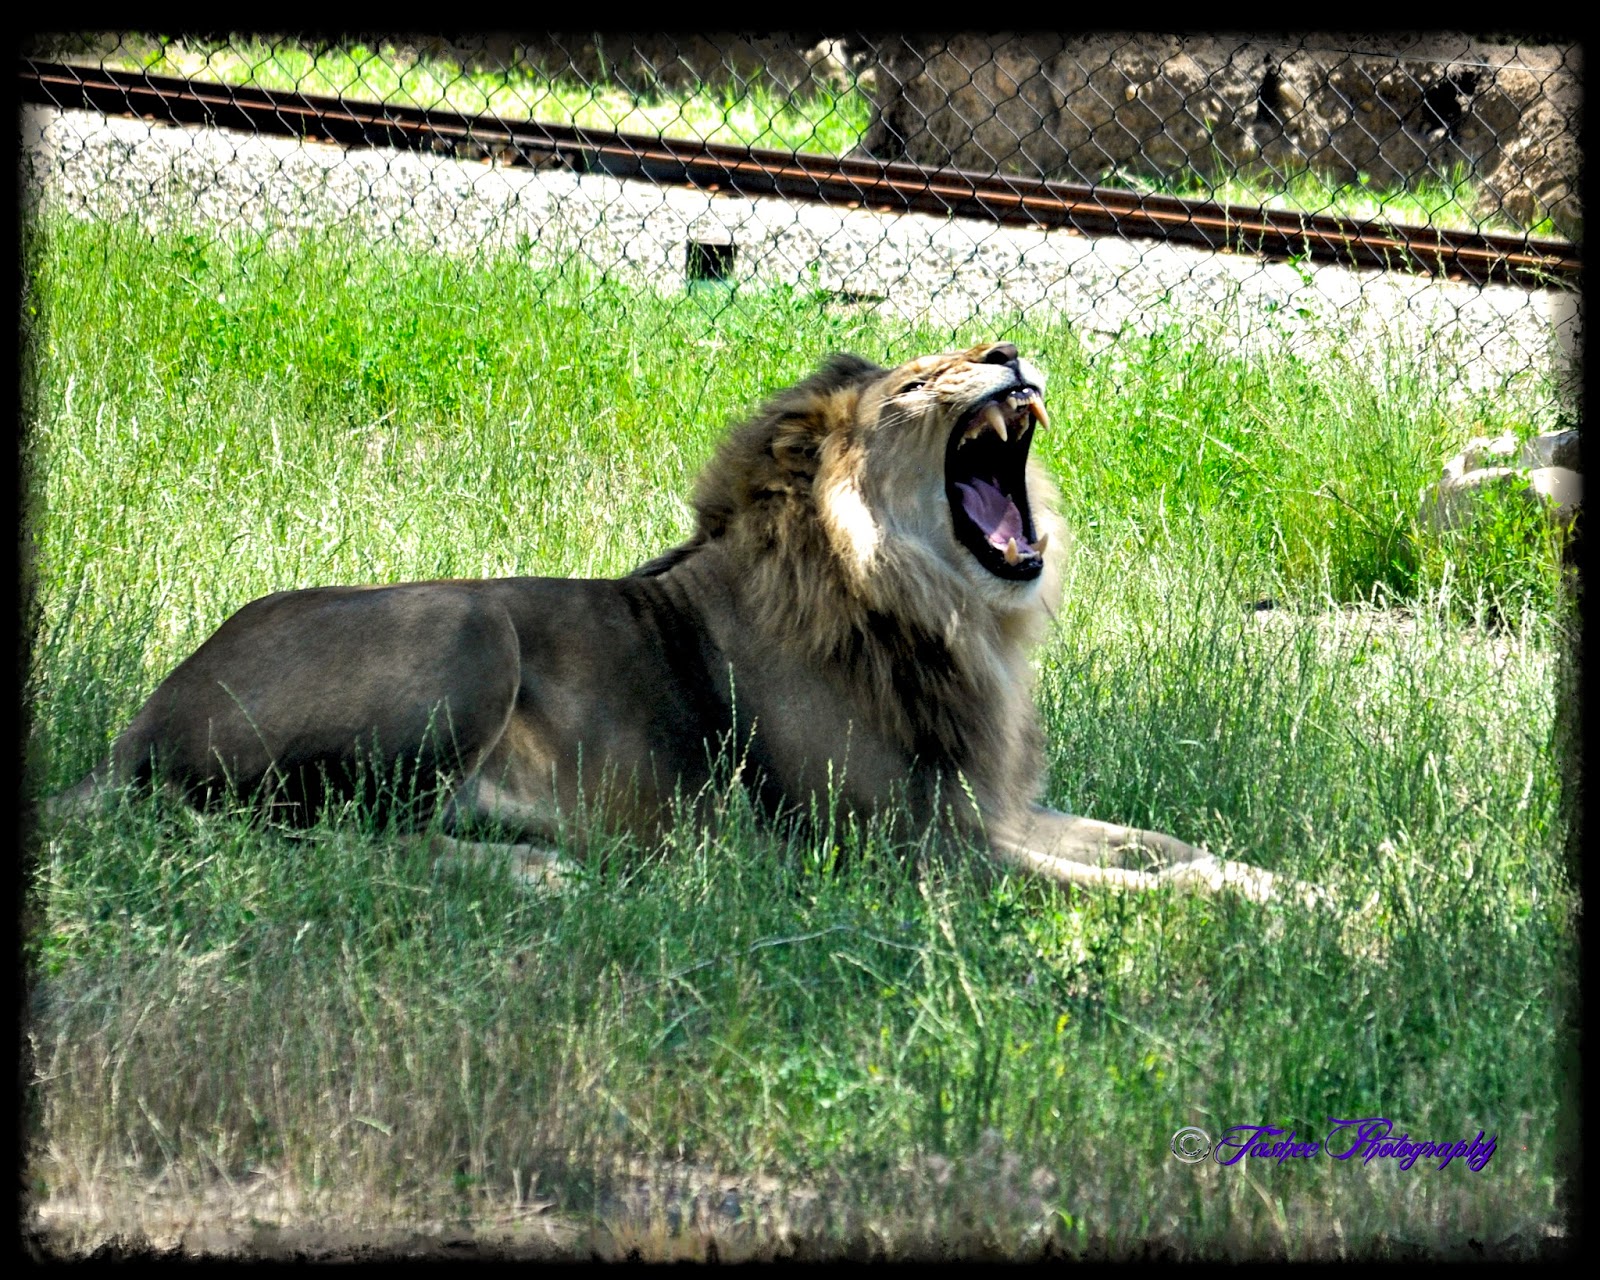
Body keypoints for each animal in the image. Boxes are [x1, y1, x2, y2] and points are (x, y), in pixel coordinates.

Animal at [51, 341, 1288, 901]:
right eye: (916, 381)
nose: (1009, 351)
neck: (944, 616)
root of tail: (134, 726)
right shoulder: (901, 845)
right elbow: (1128, 881)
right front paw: (1270, 910)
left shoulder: (985, 804)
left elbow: (1154, 840)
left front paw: (1289, 881)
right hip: (467, 629)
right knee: (312, 840)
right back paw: (538, 875)